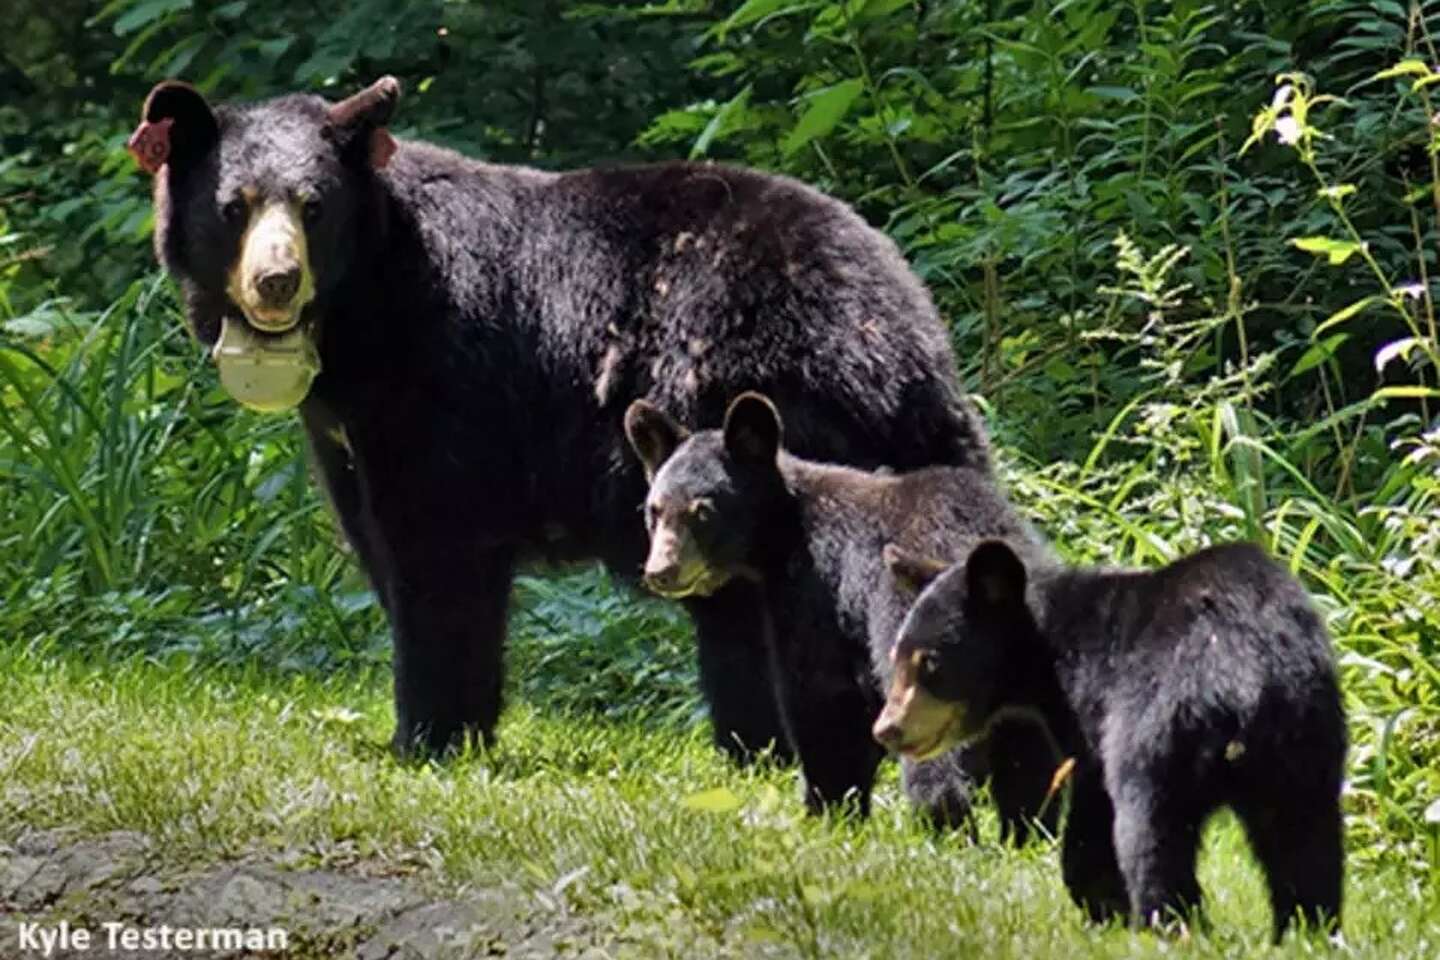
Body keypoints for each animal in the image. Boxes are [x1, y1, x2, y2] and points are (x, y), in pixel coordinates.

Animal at [128, 76, 994, 760]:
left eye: (312, 206)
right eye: (234, 206)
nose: (276, 281)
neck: (363, 311)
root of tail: (908, 336)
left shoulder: (445, 376)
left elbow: (439, 549)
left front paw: (430, 734)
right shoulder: (341, 428)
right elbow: (376, 539)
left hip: (752, 410)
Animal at [624, 391, 1060, 836]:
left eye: (702, 512)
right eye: (654, 510)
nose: (660, 571)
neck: (781, 535)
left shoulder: (816, 591)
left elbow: (822, 697)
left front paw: (827, 811)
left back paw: (943, 821)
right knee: (1033, 750)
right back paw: (1030, 830)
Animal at [872, 539, 1346, 941]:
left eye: (930, 662)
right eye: (898, 657)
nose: (887, 728)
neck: (1048, 651)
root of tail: (1240, 665)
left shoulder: (1096, 711)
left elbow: (1093, 809)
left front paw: (1102, 905)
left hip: (1161, 729)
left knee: (1152, 831)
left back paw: (1170, 924)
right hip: (1303, 734)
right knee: (1305, 840)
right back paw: (1307, 930)